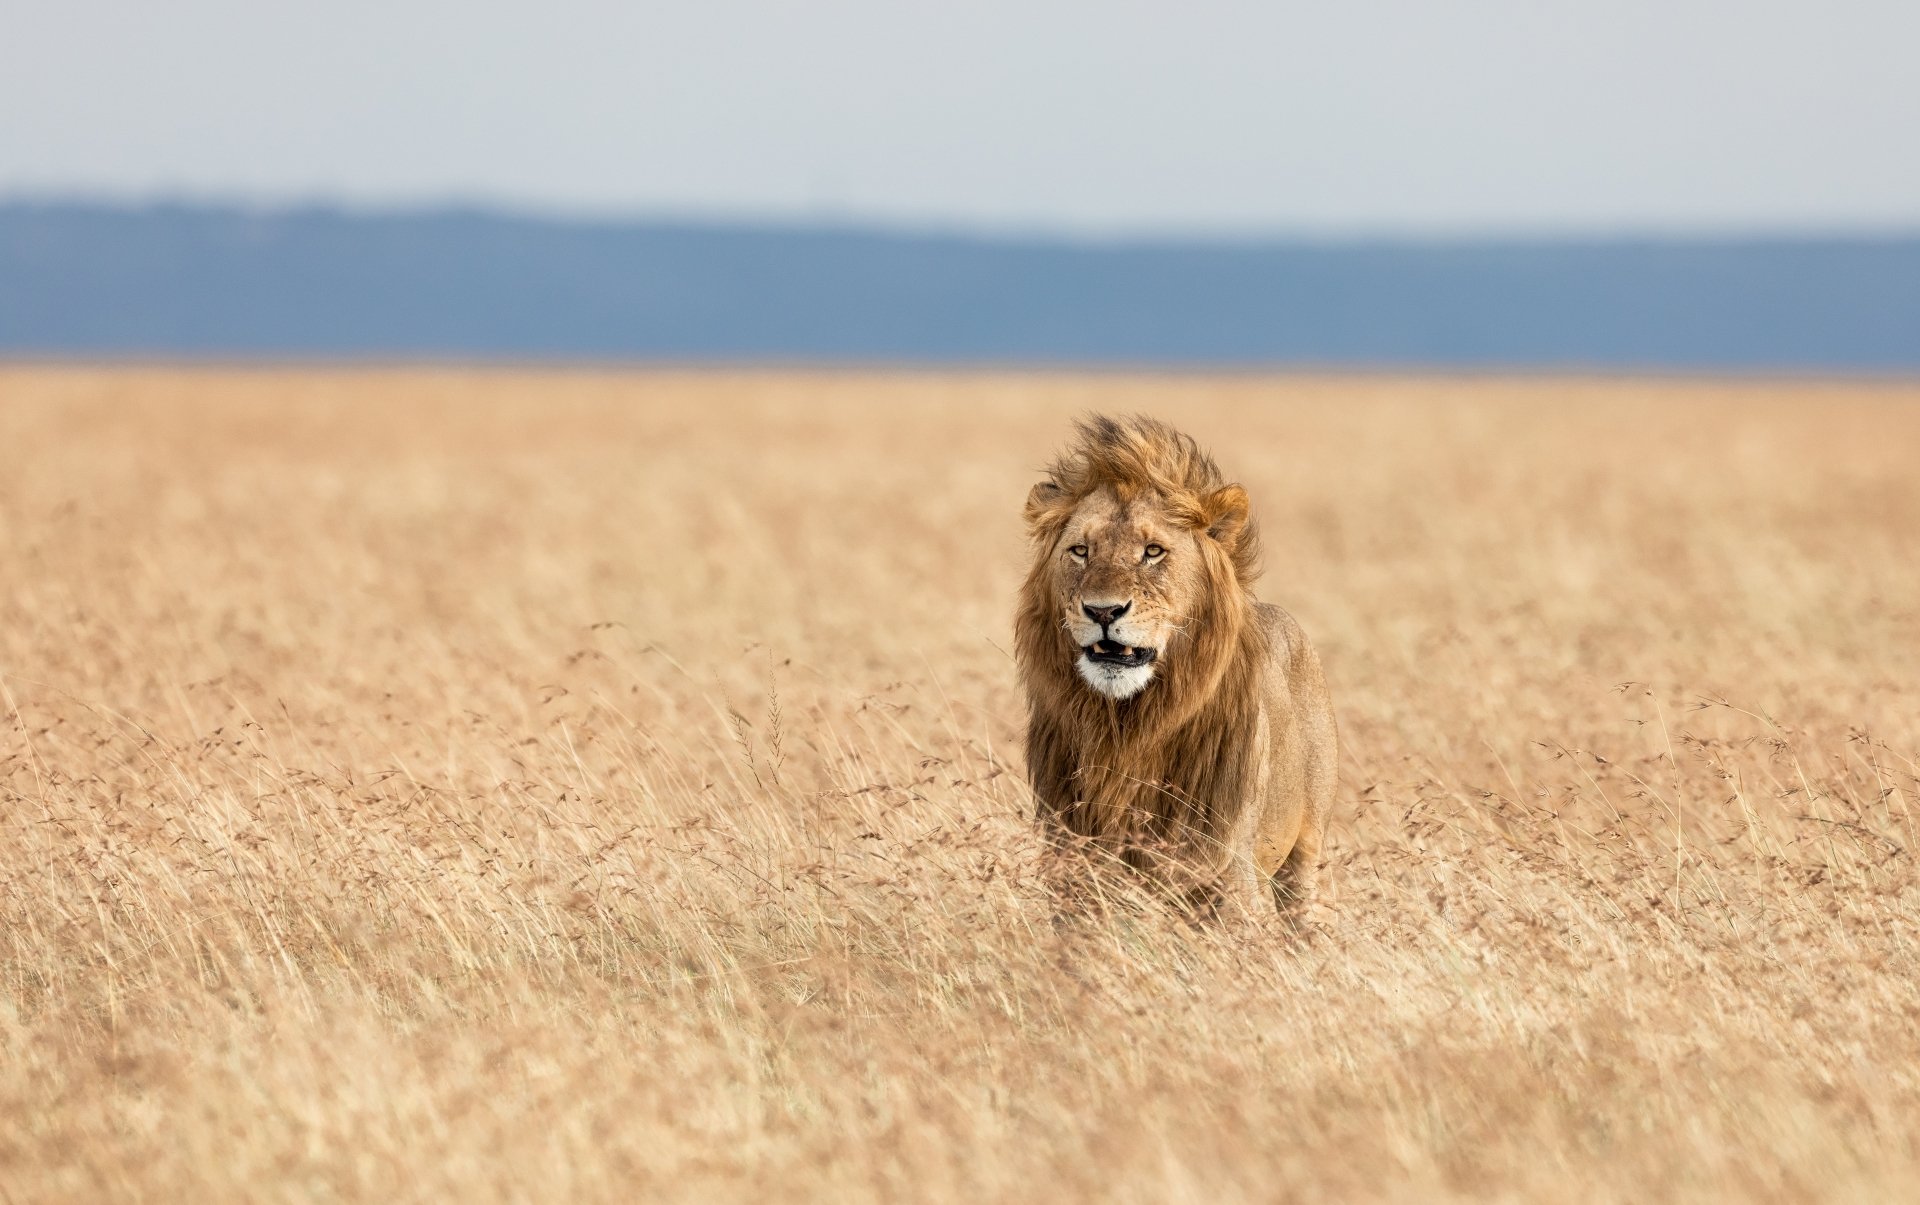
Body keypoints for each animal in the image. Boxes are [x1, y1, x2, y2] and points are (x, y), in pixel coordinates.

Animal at [1015, 414, 1337, 920]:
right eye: (1081, 551)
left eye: (1153, 551)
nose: (1103, 611)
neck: (1126, 727)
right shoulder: (1074, 868)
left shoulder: (1227, 871)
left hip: (1306, 853)